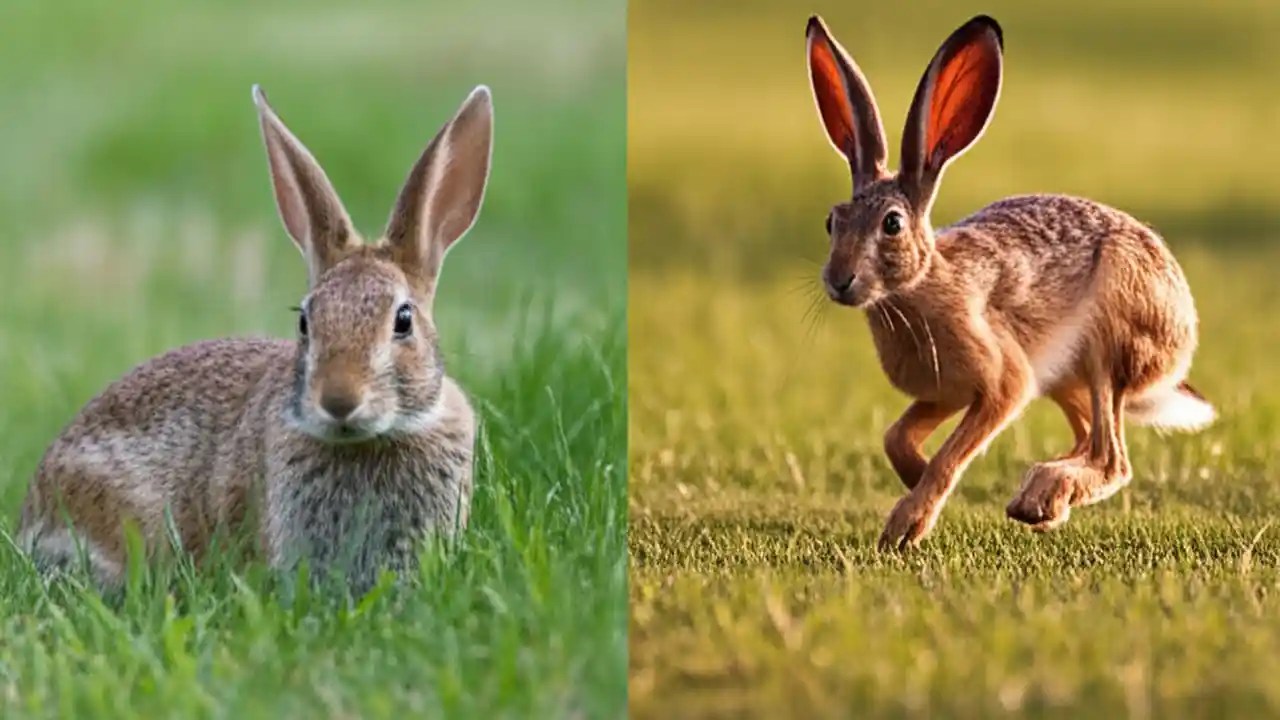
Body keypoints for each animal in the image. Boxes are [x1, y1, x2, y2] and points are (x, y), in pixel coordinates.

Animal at [804, 14, 1213, 550]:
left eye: (891, 224)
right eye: (832, 222)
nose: (839, 281)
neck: (918, 287)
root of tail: (1181, 337)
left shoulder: (1003, 383)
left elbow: (952, 454)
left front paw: (907, 522)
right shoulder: (947, 392)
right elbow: (896, 437)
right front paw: (915, 480)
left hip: (1109, 345)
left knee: (1112, 459)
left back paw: (1042, 494)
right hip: (1066, 378)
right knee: (1088, 439)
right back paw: (1045, 502)